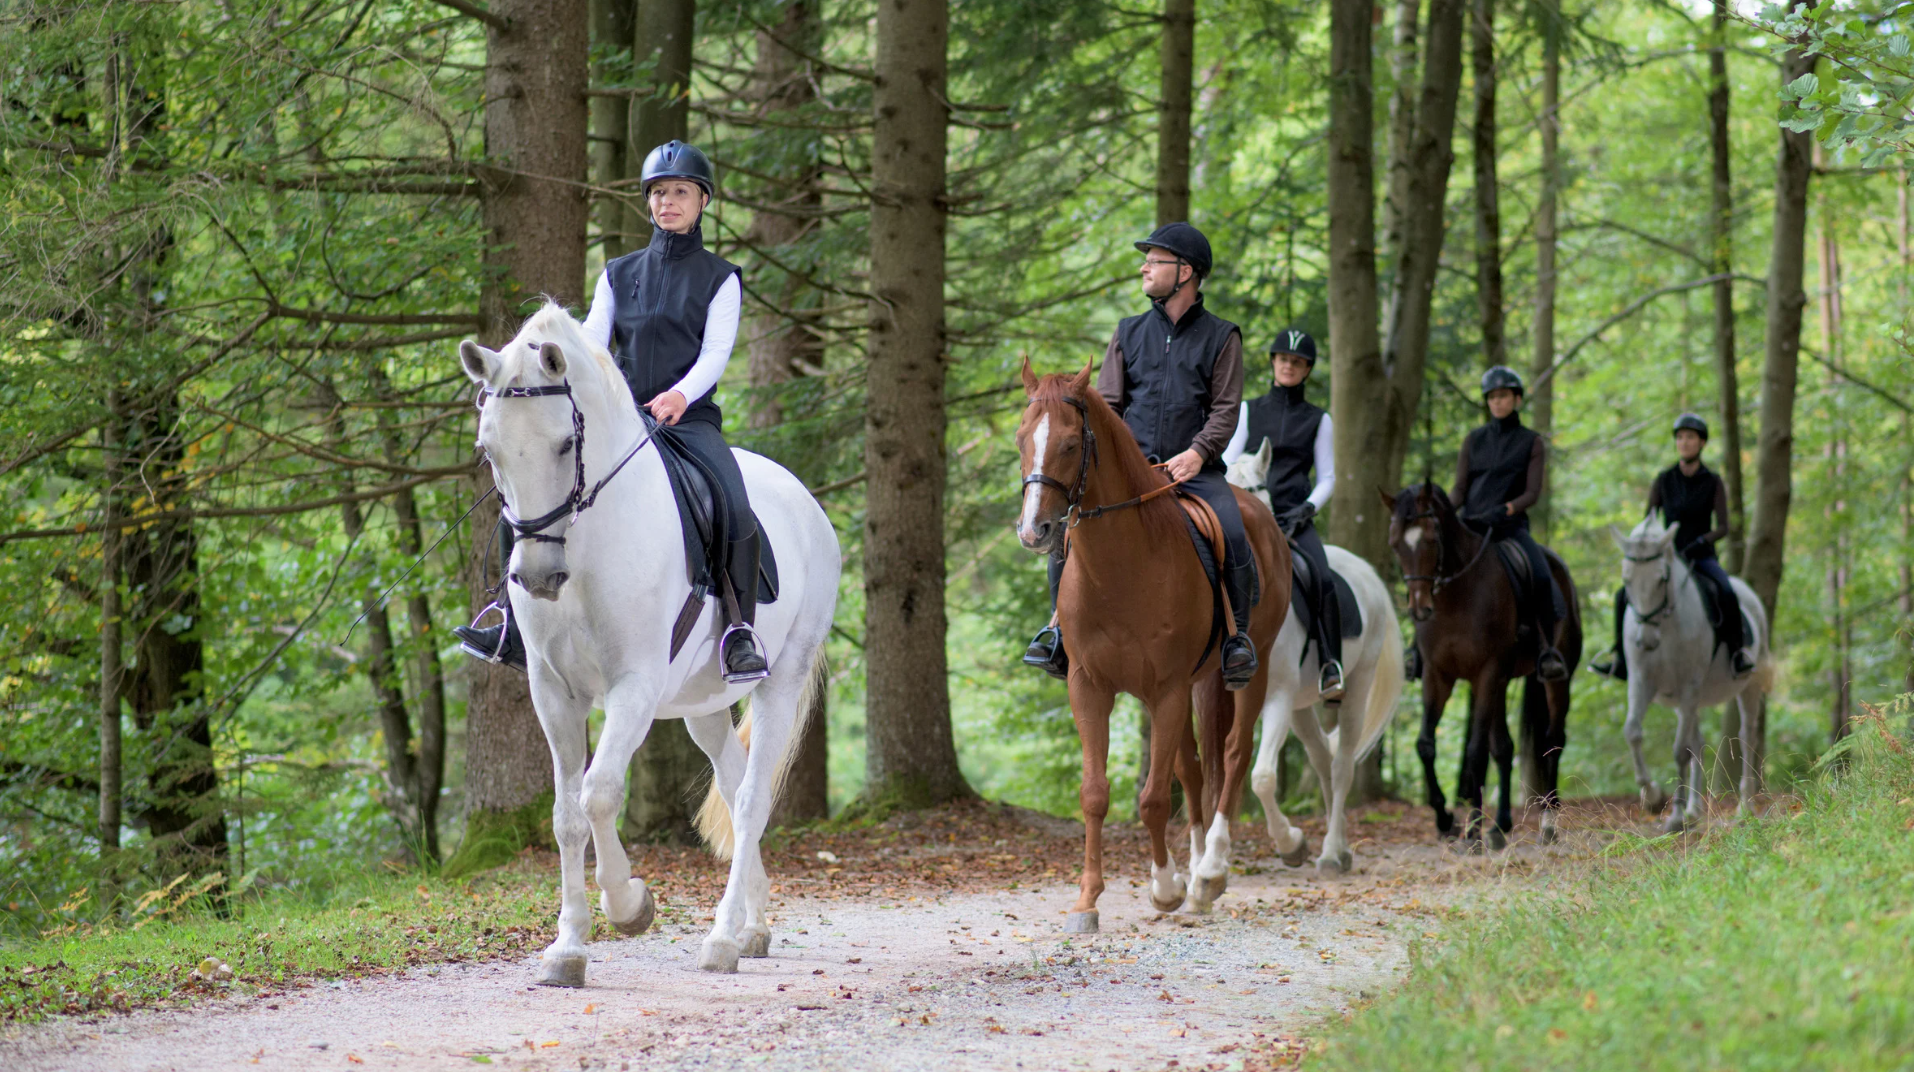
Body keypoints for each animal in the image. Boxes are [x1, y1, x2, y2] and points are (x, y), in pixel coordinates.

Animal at [456, 303, 840, 983]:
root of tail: (807, 504)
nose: (537, 577)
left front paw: (630, 904)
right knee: (735, 784)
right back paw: (753, 927)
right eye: (489, 448)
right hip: (702, 706)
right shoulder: (553, 692)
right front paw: (568, 948)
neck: (586, 544)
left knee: (751, 799)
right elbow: (566, 816)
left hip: (781, 679)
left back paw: (722, 939)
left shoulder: (631, 687)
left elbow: (600, 794)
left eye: (564, 443)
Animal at [1014, 359, 1290, 929]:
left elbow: (1154, 799)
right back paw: (1196, 870)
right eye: (1021, 439)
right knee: (1195, 766)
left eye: (1071, 444)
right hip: (1196, 684)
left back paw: (1210, 872)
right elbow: (1096, 794)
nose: (1034, 531)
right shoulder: (1090, 686)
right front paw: (1087, 901)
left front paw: (1165, 888)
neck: (1121, 566)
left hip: (1249, 670)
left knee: (1233, 754)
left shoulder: (1165, 690)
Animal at [1224, 441, 1405, 874]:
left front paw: (1290, 843)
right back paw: (1339, 846)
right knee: (1323, 759)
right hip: (1300, 706)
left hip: (1355, 686)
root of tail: (1367, 573)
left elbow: (1262, 777)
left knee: (1341, 766)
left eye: (1254, 489)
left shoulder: (1276, 697)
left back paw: (1331, 852)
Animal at [1380, 483, 1581, 849]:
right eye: (1395, 543)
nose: (1419, 609)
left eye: (1431, 538)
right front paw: (1446, 819)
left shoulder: (1485, 674)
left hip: (1556, 680)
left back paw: (1548, 823)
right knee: (1504, 748)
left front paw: (1471, 830)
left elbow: (1475, 752)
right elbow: (1426, 745)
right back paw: (1500, 827)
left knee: (1553, 740)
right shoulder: (1438, 676)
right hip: (1501, 683)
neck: (1456, 596)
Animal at [1609, 517, 1774, 831]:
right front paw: (1653, 796)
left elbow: (1679, 750)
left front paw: (1673, 816)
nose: (1646, 641)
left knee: (1746, 735)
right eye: (1626, 580)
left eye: (1662, 579)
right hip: (1686, 700)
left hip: (1745, 685)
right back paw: (1694, 811)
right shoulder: (1642, 682)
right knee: (1698, 741)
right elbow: (1632, 731)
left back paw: (1744, 807)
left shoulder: (1689, 685)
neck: (1666, 626)